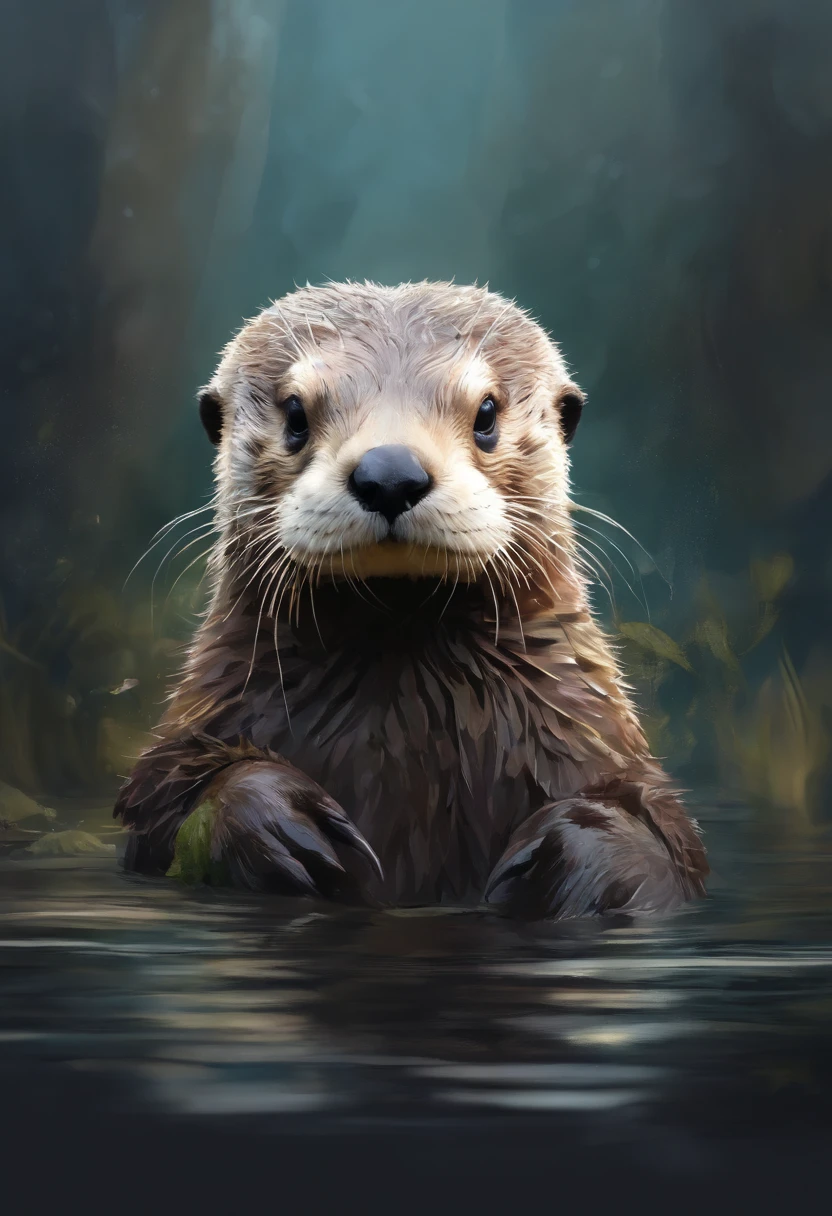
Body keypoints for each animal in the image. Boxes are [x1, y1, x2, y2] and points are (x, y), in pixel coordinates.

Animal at [115, 281, 707, 918]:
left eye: (487, 413)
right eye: (295, 413)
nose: (390, 472)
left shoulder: (608, 750)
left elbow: (667, 840)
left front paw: (576, 851)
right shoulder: (183, 749)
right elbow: (165, 811)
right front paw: (274, 821)